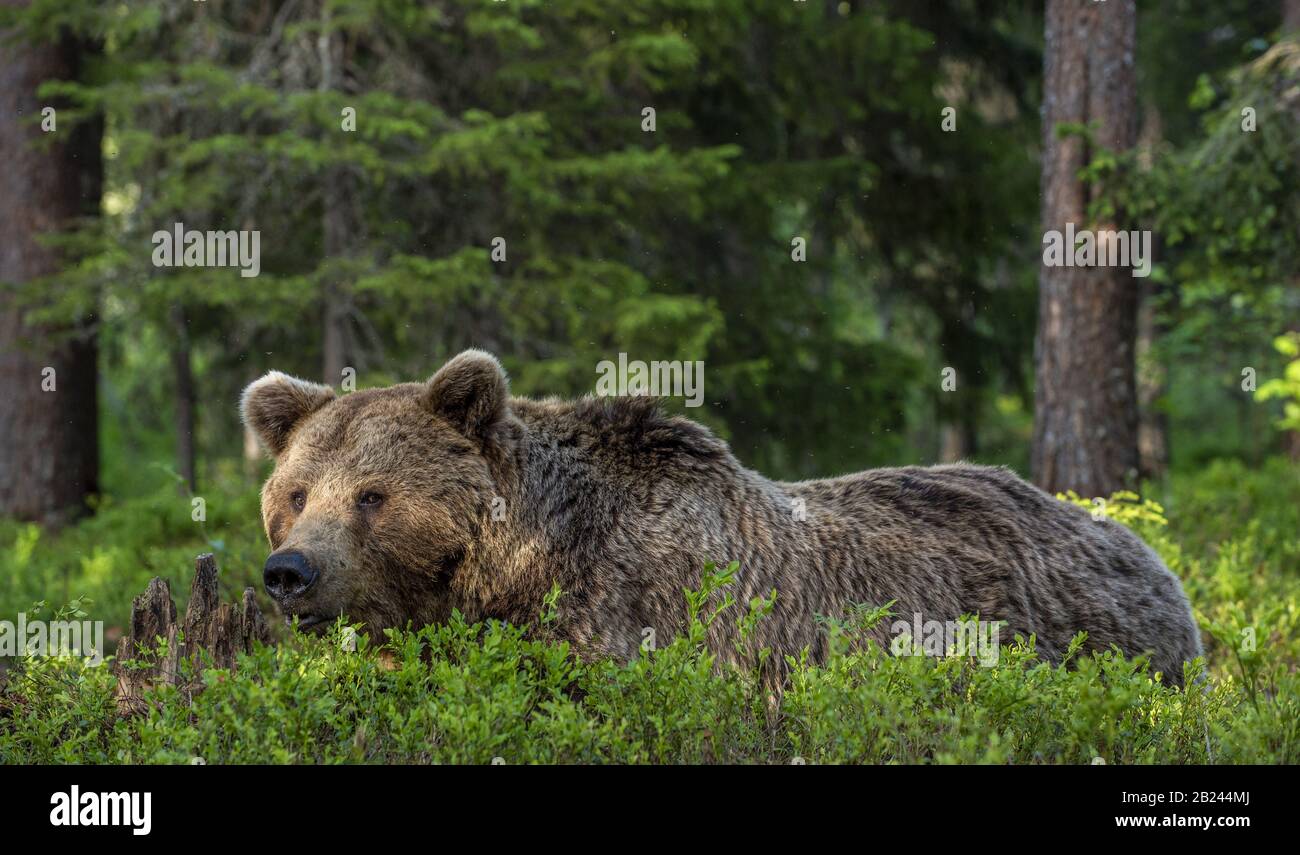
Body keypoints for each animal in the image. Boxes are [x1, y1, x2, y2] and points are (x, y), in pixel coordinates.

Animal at [241, 349, 1203, 685]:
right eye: (297, 493)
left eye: (373, 494)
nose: (292, 571)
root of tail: (1147, 548)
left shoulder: (641, 620)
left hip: (1105, 643)